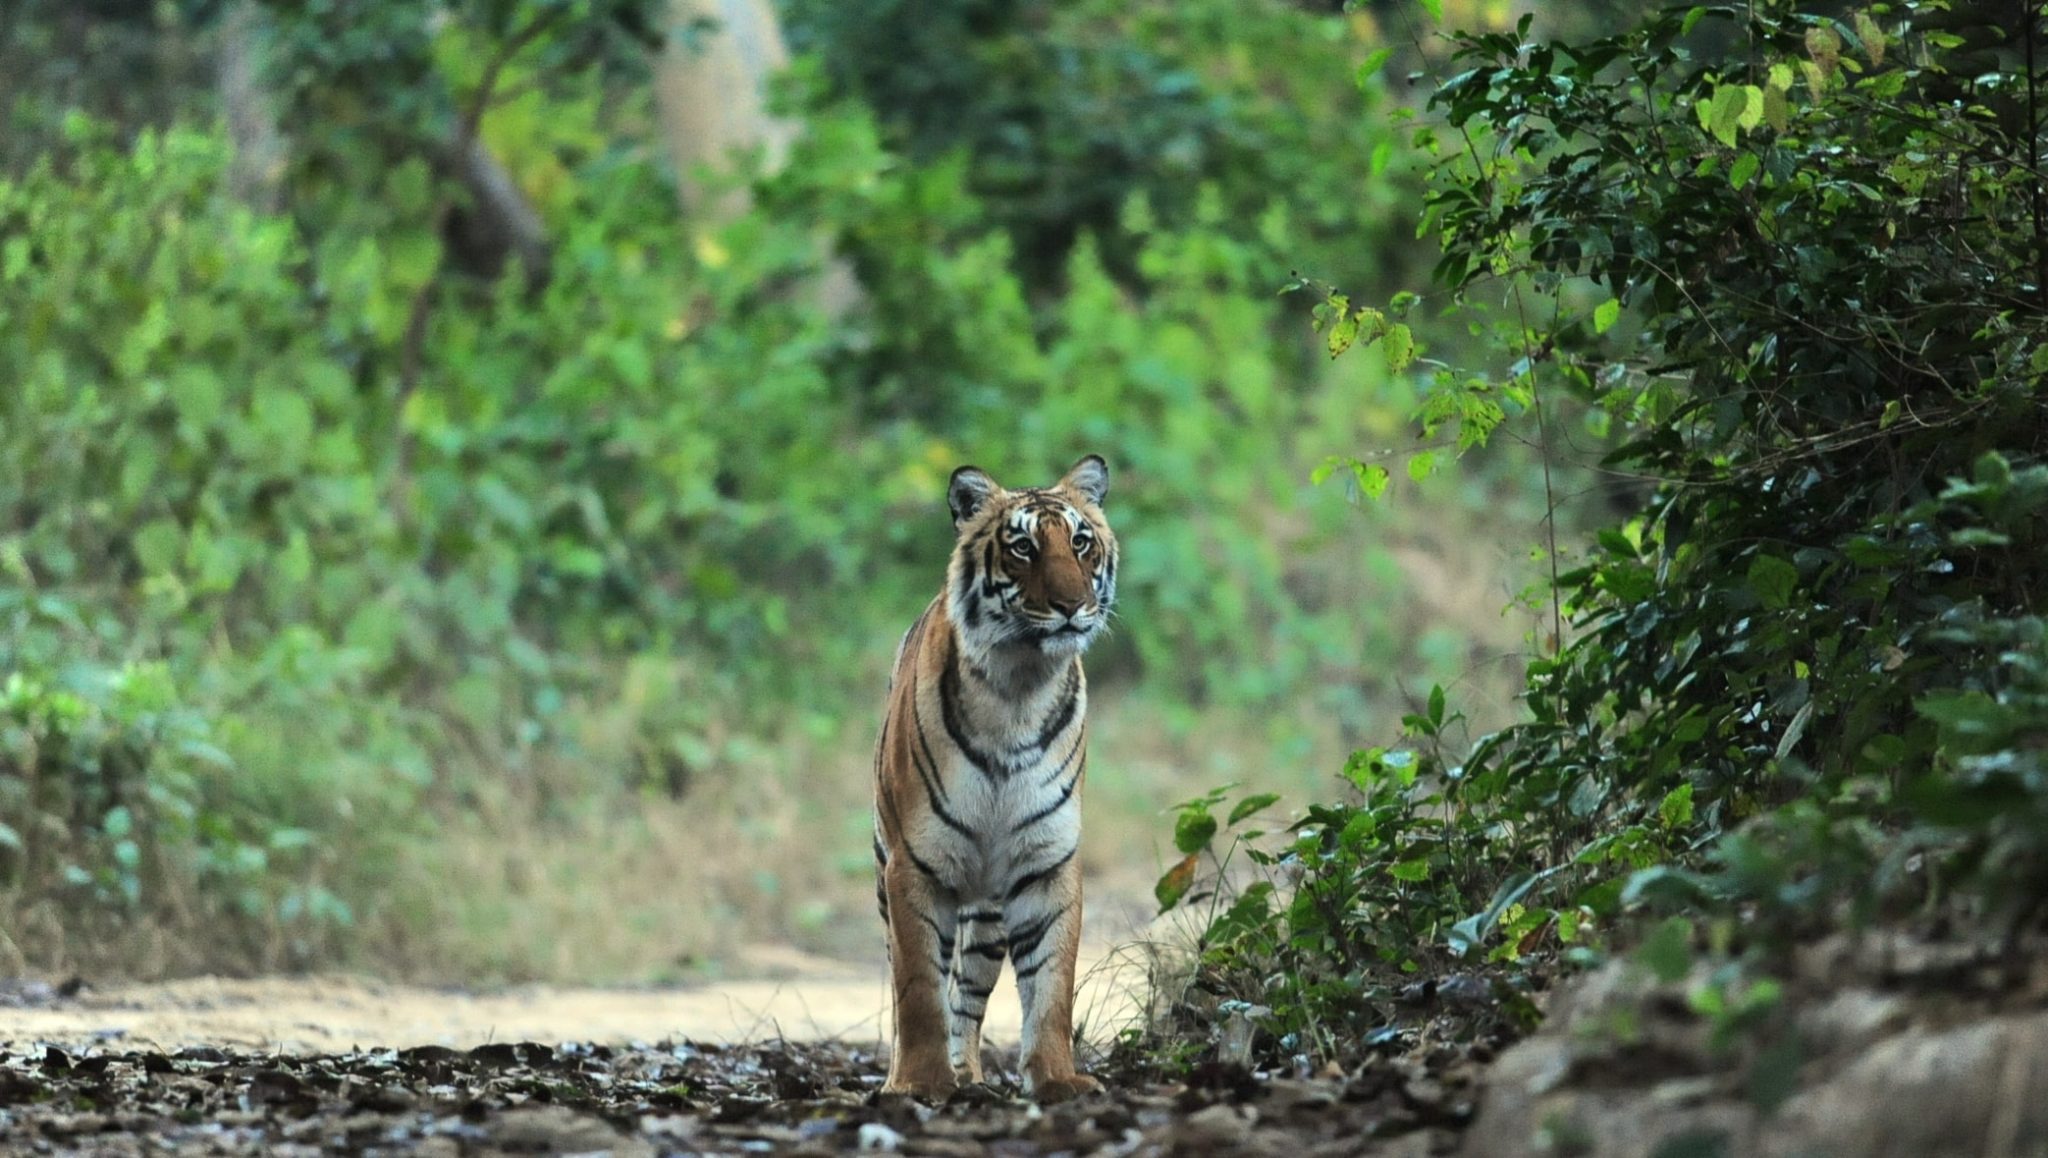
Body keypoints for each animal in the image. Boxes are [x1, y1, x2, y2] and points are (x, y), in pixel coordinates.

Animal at [871, 454, 1118, 1103]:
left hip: (986, 916)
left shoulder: (1047, 863)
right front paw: (919, 1083)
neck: (1020, 685)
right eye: (1023, 547)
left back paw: (969, 1076)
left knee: (968, 993)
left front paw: (1057, 1078)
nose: (1072, 605)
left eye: (1080, 543)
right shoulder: (914, 865)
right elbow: (917, 989)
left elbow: (1052, 985)